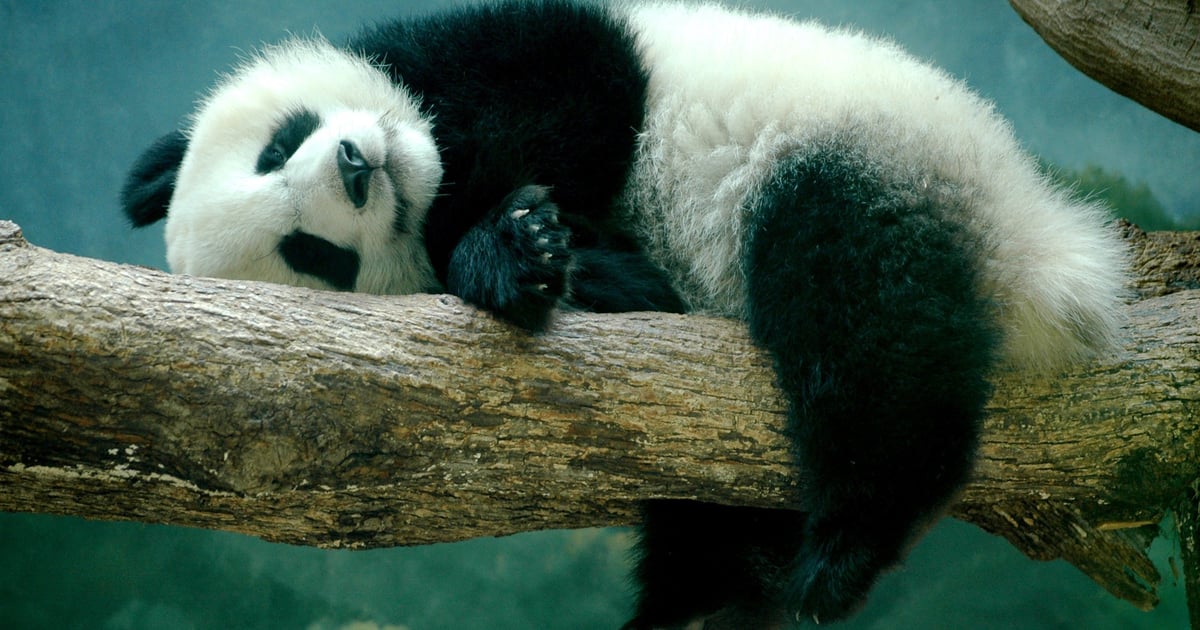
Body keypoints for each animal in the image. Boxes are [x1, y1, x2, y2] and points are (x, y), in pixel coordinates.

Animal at [120, 1, 1127, 628]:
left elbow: (571, 85)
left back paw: (846, 547)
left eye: (277, 144)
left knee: (869, 327)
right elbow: (635, 289)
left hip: (873, 149)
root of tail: (1036, 249)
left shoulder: (515, 49)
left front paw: (507, 236)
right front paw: (546, 258)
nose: (359, 167)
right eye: (312, 254)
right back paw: (711, 605)